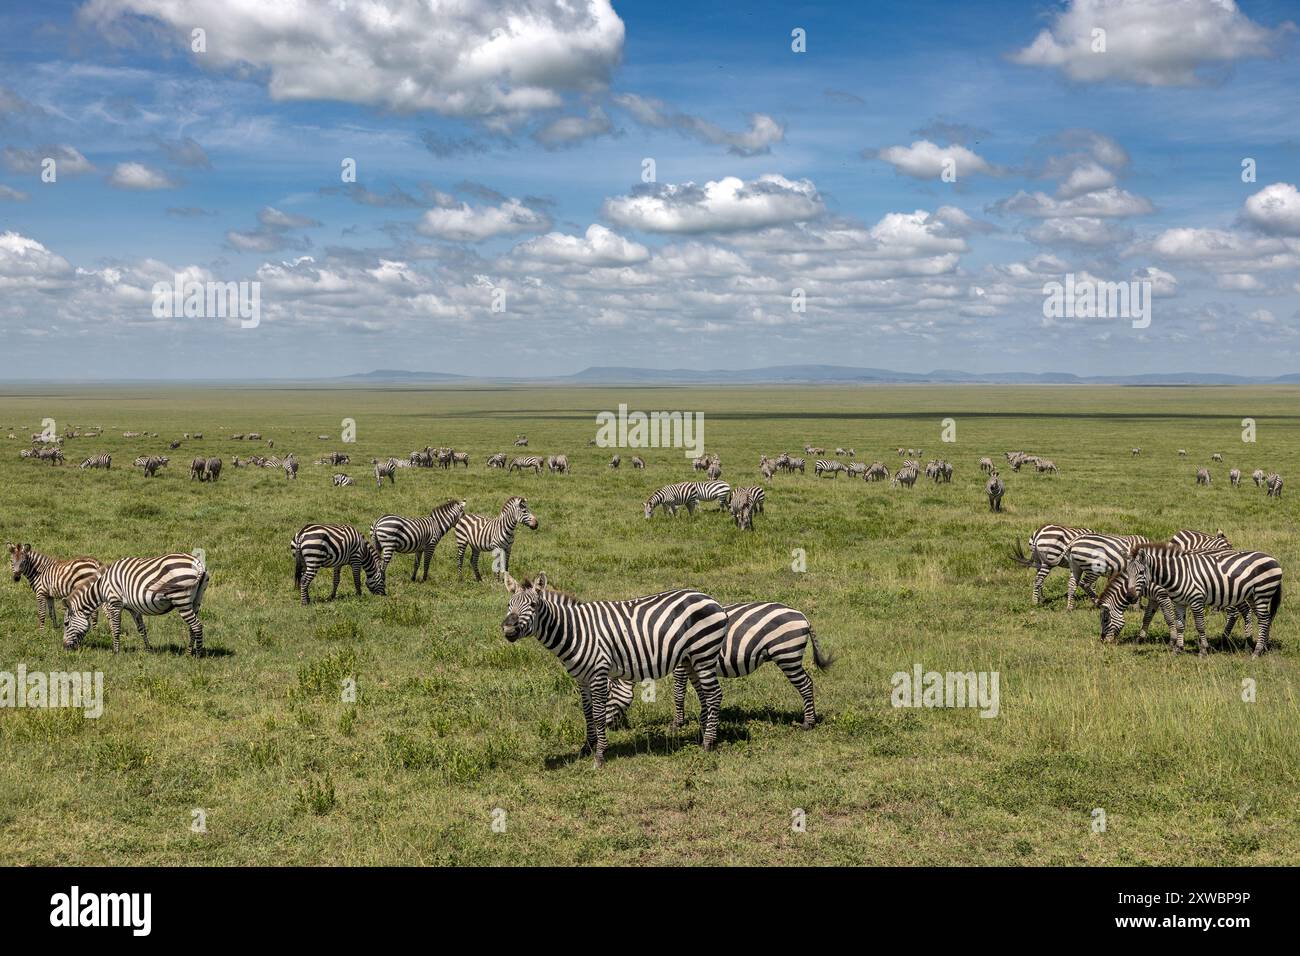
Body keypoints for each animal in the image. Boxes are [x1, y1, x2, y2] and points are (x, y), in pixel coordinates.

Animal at [62, 552, 209, 655]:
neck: (102, 585)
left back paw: (197, 655)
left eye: (66, 624)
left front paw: (116, 652)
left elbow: (115, 628)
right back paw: (189, 652)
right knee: (192, 627)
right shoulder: (133, 608)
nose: (64, 647)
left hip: (181, 599)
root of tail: (197, 563)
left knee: (196, 626)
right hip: (196, 601)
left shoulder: (114, 603)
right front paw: (148, 650)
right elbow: (141, 628)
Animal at [500, 573, 729, 764]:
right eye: (509, 604)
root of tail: (711, 599)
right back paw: (702, 736)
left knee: (714, 695)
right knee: (704, 695)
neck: (576, 631)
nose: (508, 629)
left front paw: (600, 755)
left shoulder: (598, 672)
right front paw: (587, 747)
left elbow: (599, 714)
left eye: (533, 605)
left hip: (704, 655)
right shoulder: (582, 679)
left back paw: (708, 743)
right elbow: (587, 712)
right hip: (692, 659)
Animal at [607, 601, 832, 730]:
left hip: (787, 655)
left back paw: (808, 723)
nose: (612, 728)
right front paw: (704, 718)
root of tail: (803, 617)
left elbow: (678, 693)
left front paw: (677, 724)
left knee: (806, 684)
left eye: (607, 693)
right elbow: (699, 691)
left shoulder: (681, 664)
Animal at [1106, 543, 1283, 657]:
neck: (1177, 573)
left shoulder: (1195, 600)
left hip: (1262, 593)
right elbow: (1179, 624)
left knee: (1263, 619)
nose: (1130, 596)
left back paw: (1256, 651)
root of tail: (1273, 559)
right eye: (1128, 572)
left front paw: (1203, 650)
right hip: (1252, 595)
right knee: (1263, 618)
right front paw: (1177, 649)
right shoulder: (1179, 602)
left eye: (1141, 572)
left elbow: (1199, 625)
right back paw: (1260, 647)